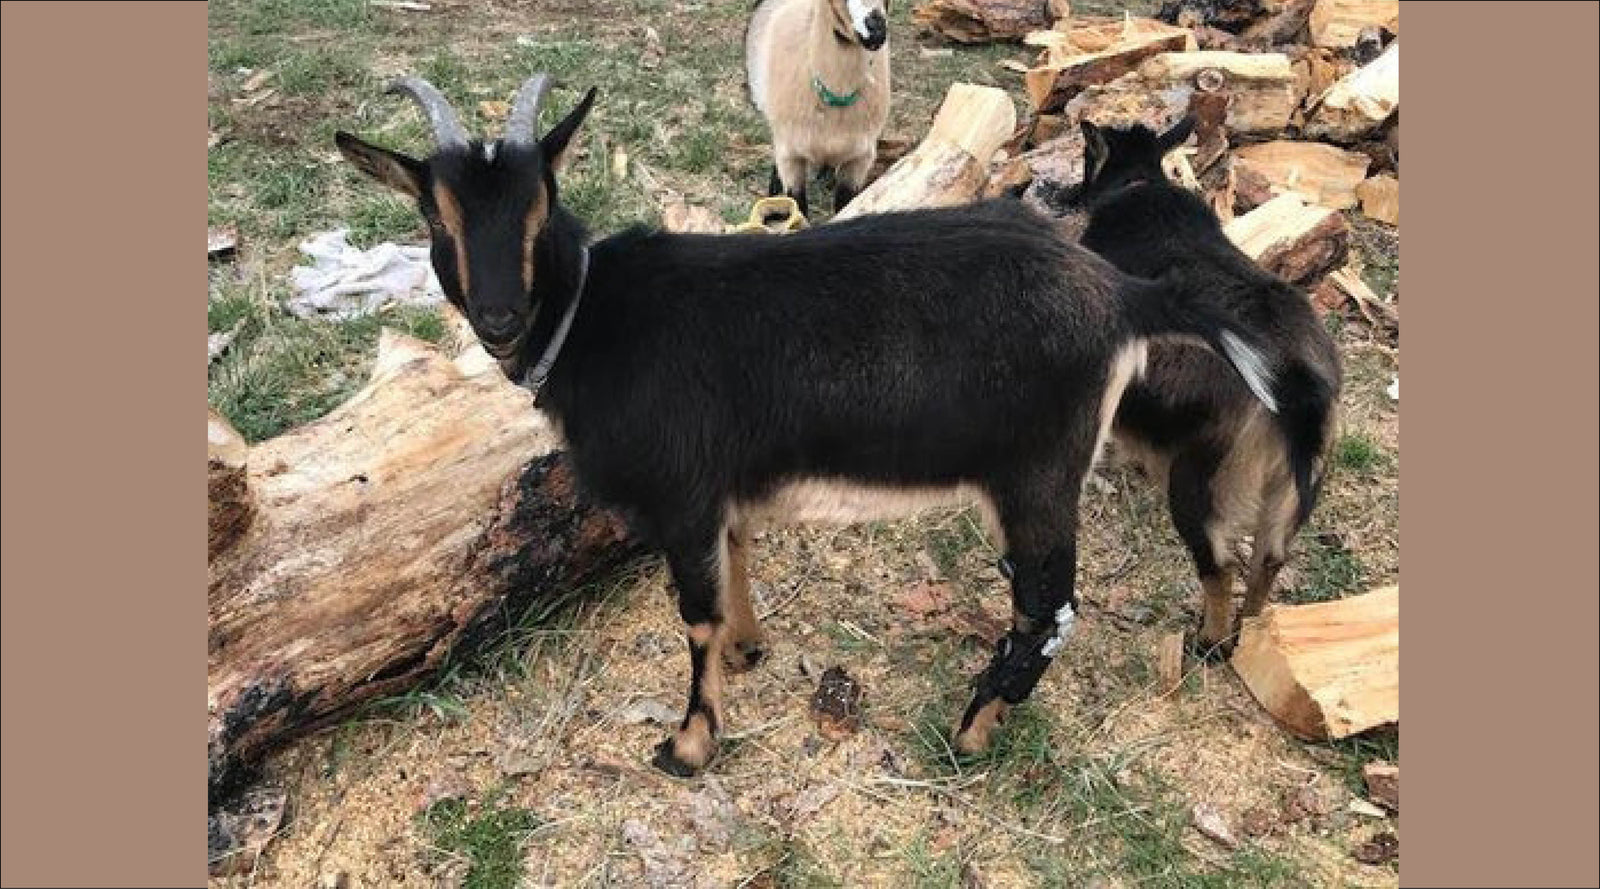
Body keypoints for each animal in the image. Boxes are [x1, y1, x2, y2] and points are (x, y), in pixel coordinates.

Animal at [335, 74, 1298, 777]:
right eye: (435, 213)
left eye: (542, 200)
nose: (498, 317)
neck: (594, 318)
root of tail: (1123, 297)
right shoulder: (721, 488)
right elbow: (734, 566)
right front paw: (750, 649)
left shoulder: (680, 492)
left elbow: (693, 614)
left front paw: (688, 744)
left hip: (1037, 473)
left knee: (1050, 605)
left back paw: (971, 730)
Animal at [1065, 117, 1344, 658]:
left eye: (1087, 154)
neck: (1138, 185)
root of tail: (1292, 378)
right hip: (1297, 481)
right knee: (1268, 559)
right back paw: (1254, 633)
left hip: (1200, 481)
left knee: (1219, 564)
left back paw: (1210, 642)